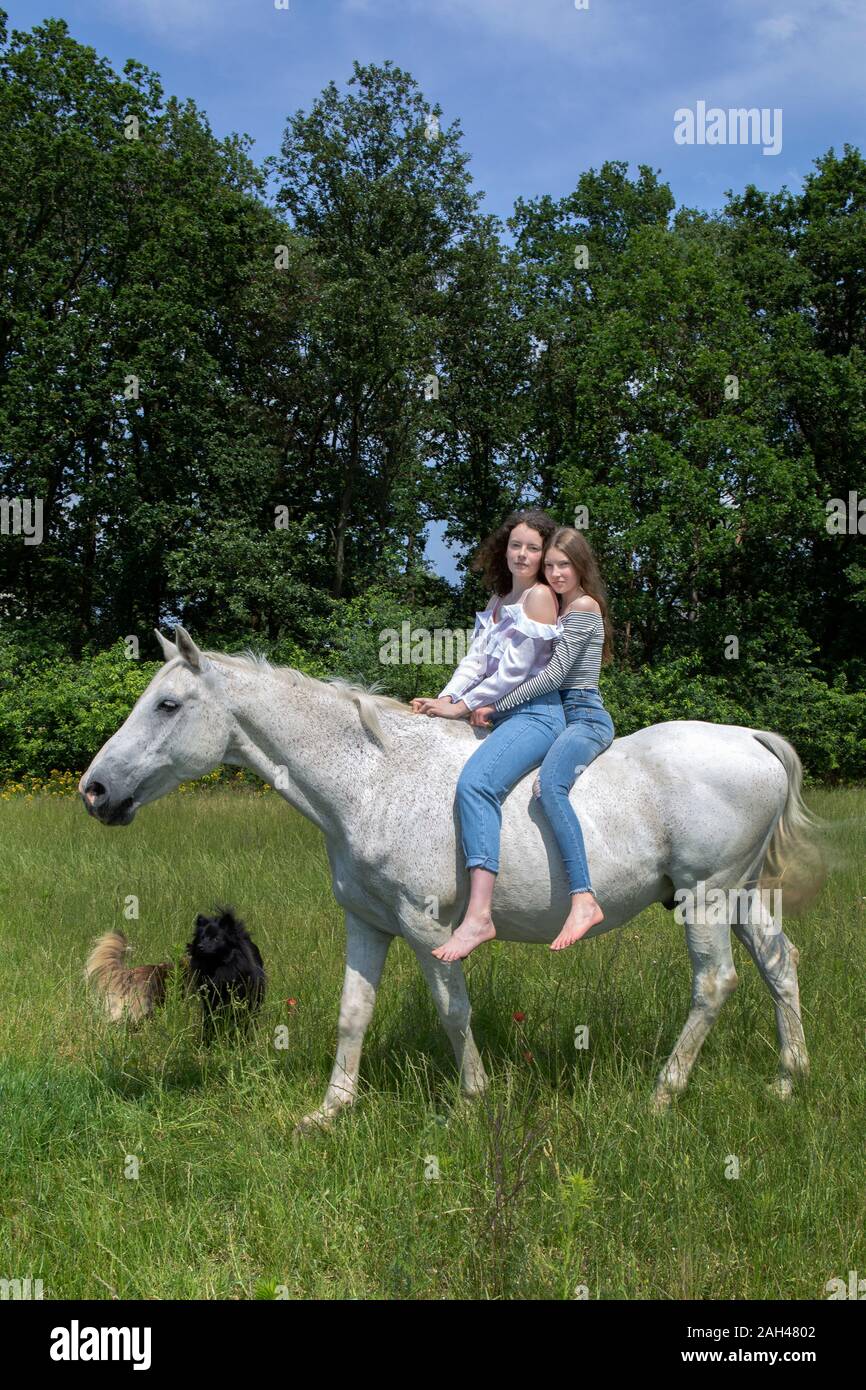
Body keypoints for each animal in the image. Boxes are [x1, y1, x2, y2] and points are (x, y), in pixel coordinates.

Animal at [79, 627, 825, 1131]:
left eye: (168, 705)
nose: (95, 790)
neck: (372, 779)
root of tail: (750, 738)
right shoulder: (368, 923)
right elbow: (353, 1013)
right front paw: (329, 1111)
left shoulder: (426, 926)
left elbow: (452, 1010)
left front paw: (471, 1100)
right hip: (741, 897)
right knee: (781, 965)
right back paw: (789, 1081)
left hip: (706, 897)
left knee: (715, 984)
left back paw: (664, 1095)